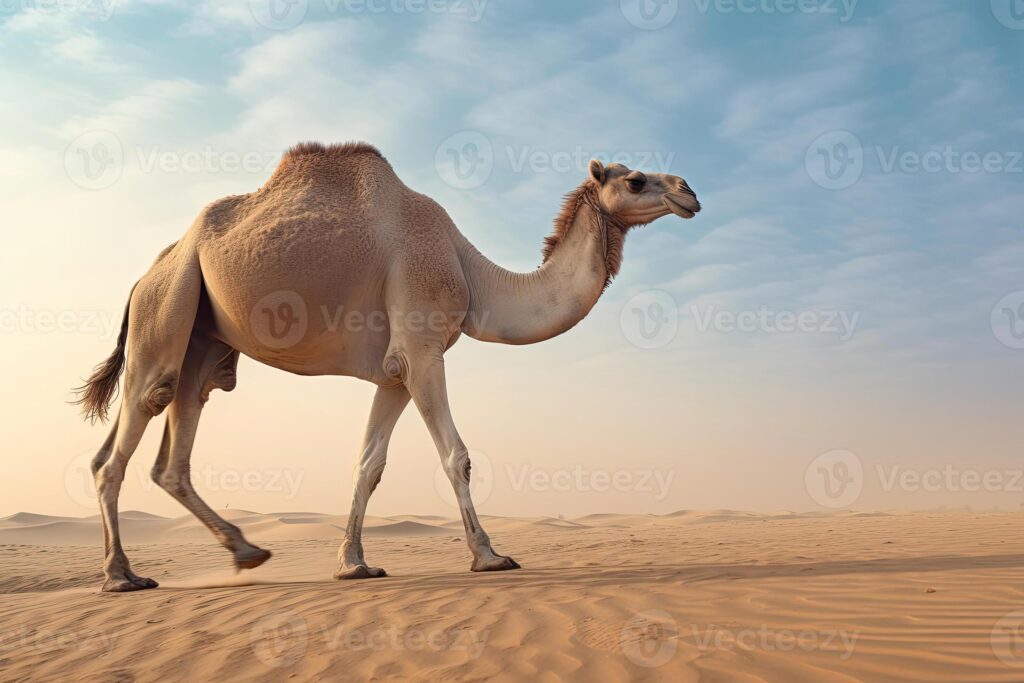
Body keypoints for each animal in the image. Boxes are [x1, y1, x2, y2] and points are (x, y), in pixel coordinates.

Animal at [74, 142, 701, 592]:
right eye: (635, 179)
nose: (689, 190)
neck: (471, 272)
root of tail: (144, 275)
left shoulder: (395, 372)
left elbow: (368, 465)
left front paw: (353, 564)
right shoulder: (423, 350)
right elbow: (456, 456)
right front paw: (489, 555)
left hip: (202, 339)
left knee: (174, 445)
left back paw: (246, 550)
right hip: (166, 308)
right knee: (127, 434)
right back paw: (121, 576)